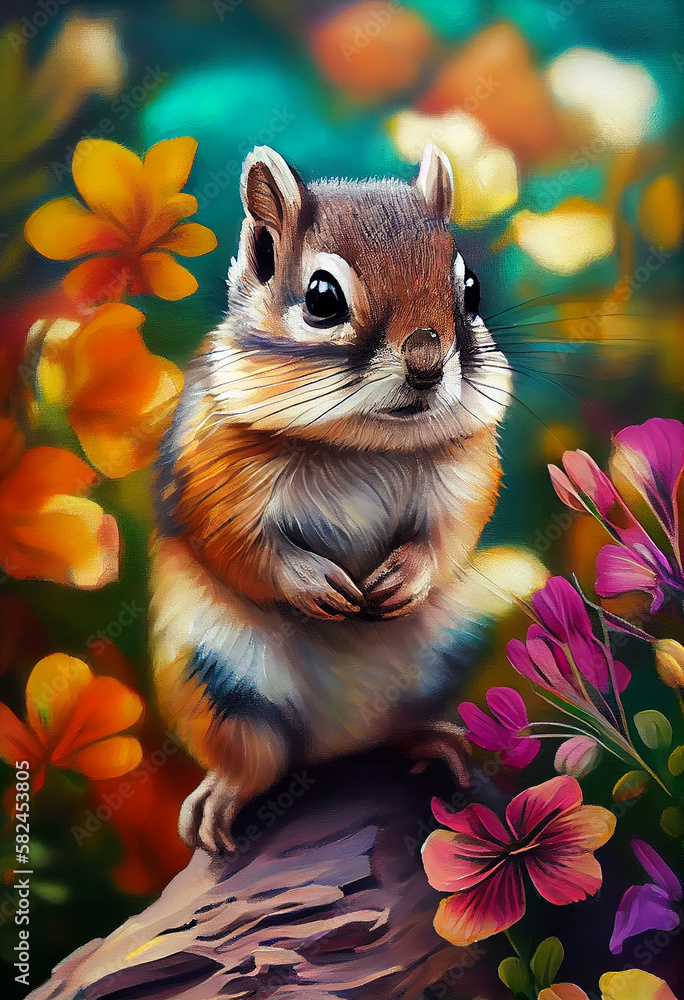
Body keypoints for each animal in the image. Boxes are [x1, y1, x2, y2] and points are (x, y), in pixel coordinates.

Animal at [149, 143, 512, 852]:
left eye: (471, 289)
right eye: (322, 297)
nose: (427, 362)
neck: (361, 441)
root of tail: (340, 744)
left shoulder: (466, 469)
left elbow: (453, 532)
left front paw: (406, 575)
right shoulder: (213, 469)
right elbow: (239, 546)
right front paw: (312, 581)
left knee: (396, 732)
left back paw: (433, 743)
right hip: (218, 687)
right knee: (260, 758)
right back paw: (223, 795)